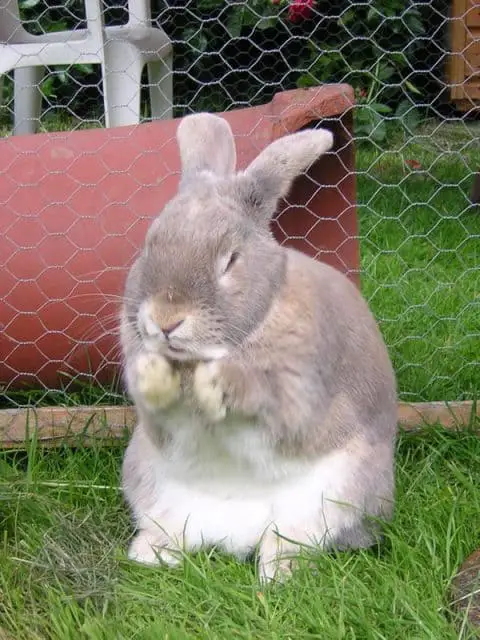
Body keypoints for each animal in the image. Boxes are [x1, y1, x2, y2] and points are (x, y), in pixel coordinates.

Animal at [120, 113, 398, 584]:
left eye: (231, 259)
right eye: (147, 245)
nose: (165, 320)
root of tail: (234, 535)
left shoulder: (299, 394)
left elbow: (262, 398)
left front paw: (216, 384)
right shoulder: (154, 421)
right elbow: (156, 401)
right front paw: (155, 372)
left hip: (333, 496)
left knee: (291, 543)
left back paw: (277, 575)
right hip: (147, 479)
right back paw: (148, 554)